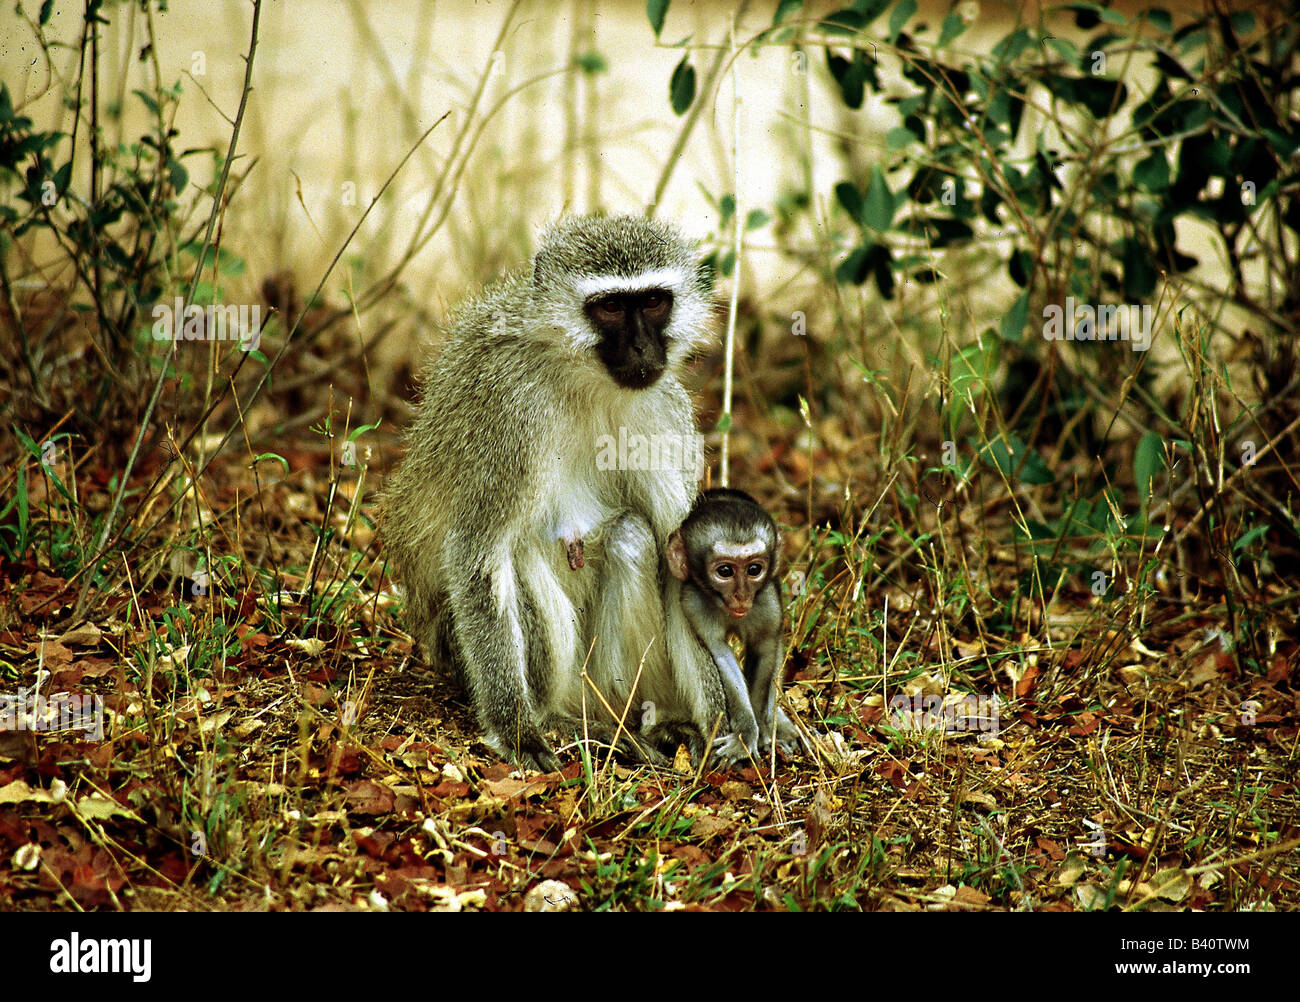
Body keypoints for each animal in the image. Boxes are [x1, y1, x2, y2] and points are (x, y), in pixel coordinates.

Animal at [382, 215, 735, 771]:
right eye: (610, 307)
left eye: (654, 302)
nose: (642, 349)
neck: (584, 380)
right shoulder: (508, 407)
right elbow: (476, 554)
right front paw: (517, 731)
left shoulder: (663, 414)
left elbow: (683, 565)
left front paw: (722, 723)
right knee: (516, 556)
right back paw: (555, 720)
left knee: (632, 536)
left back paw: (642, 724)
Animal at [666, 488, 809, 764]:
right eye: (725, 571)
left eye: (754, 569)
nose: (742, 596)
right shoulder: (693, 602)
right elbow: (720, 654)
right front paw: (746, 732)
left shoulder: (766, 600)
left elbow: (765, 649)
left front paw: (760, 730)